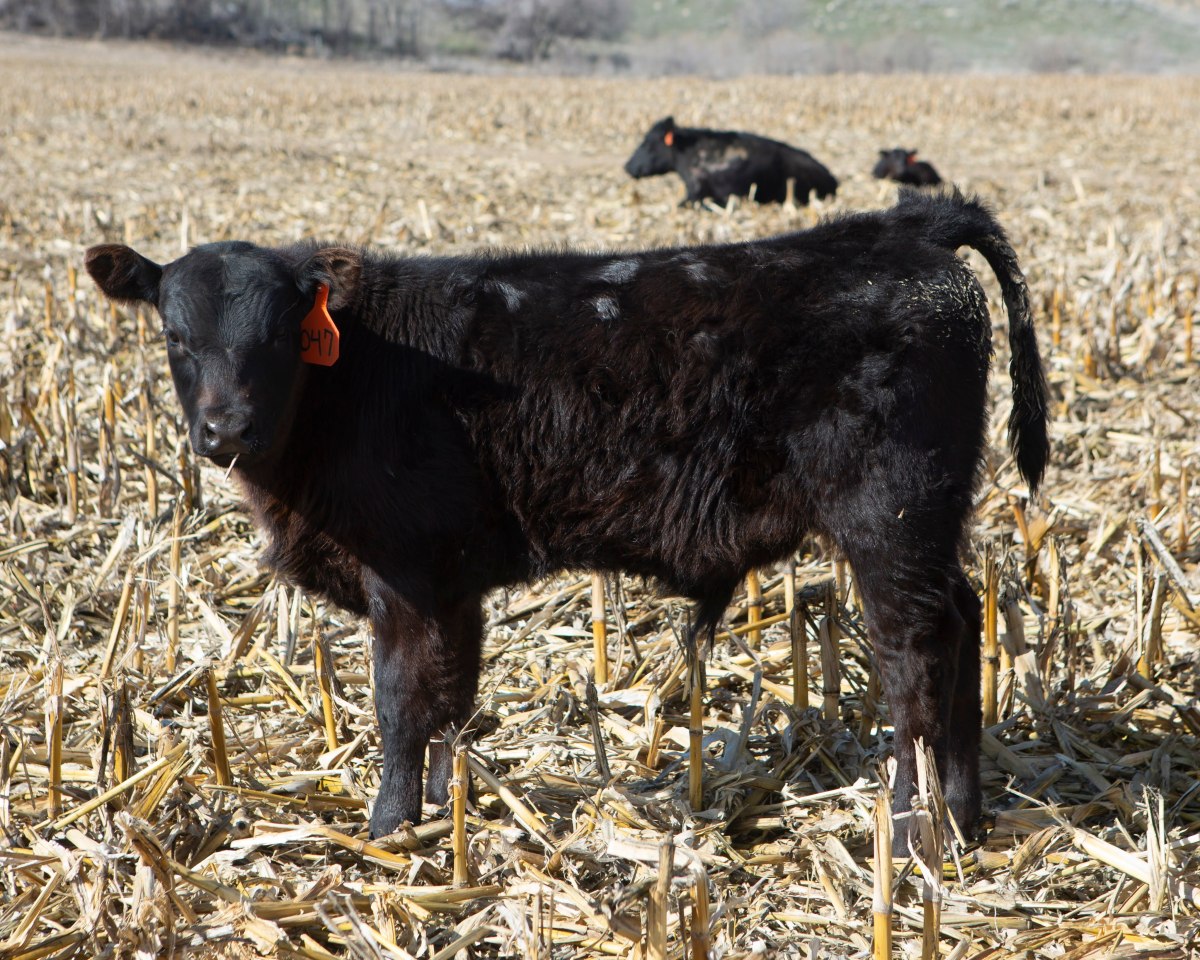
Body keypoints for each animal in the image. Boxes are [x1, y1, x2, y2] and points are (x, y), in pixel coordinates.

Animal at [85, 190, 1048, 851]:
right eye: (174, 337)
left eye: (281, 336)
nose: (226, 430)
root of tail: (902, 227)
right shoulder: (451, 583)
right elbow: (450, 702)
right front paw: (442, 815)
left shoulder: (405, 573)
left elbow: (401, 705)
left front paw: (387, 829)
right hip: (929, 525)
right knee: (963, 620)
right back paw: (963, 816)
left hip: (890, 518)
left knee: (914, 655)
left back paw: (911, 825)